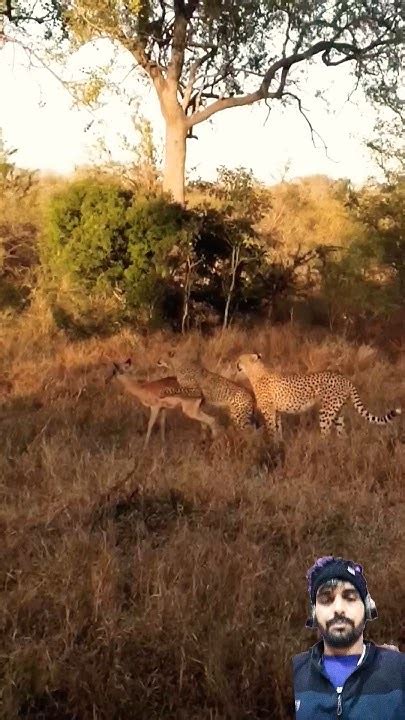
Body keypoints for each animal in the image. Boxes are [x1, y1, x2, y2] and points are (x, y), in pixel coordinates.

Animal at [236, 352, 401, 439]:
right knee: (341, 433)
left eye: (240, 360)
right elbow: (278, 429)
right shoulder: (276, 412)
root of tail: (344, 378)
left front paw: (272, 445)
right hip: (339, 411)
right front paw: (279, 442)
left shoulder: (269, 411)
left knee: (326, 433)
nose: (236, 364)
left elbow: (271, 430)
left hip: (327, 411)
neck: (256, 373)